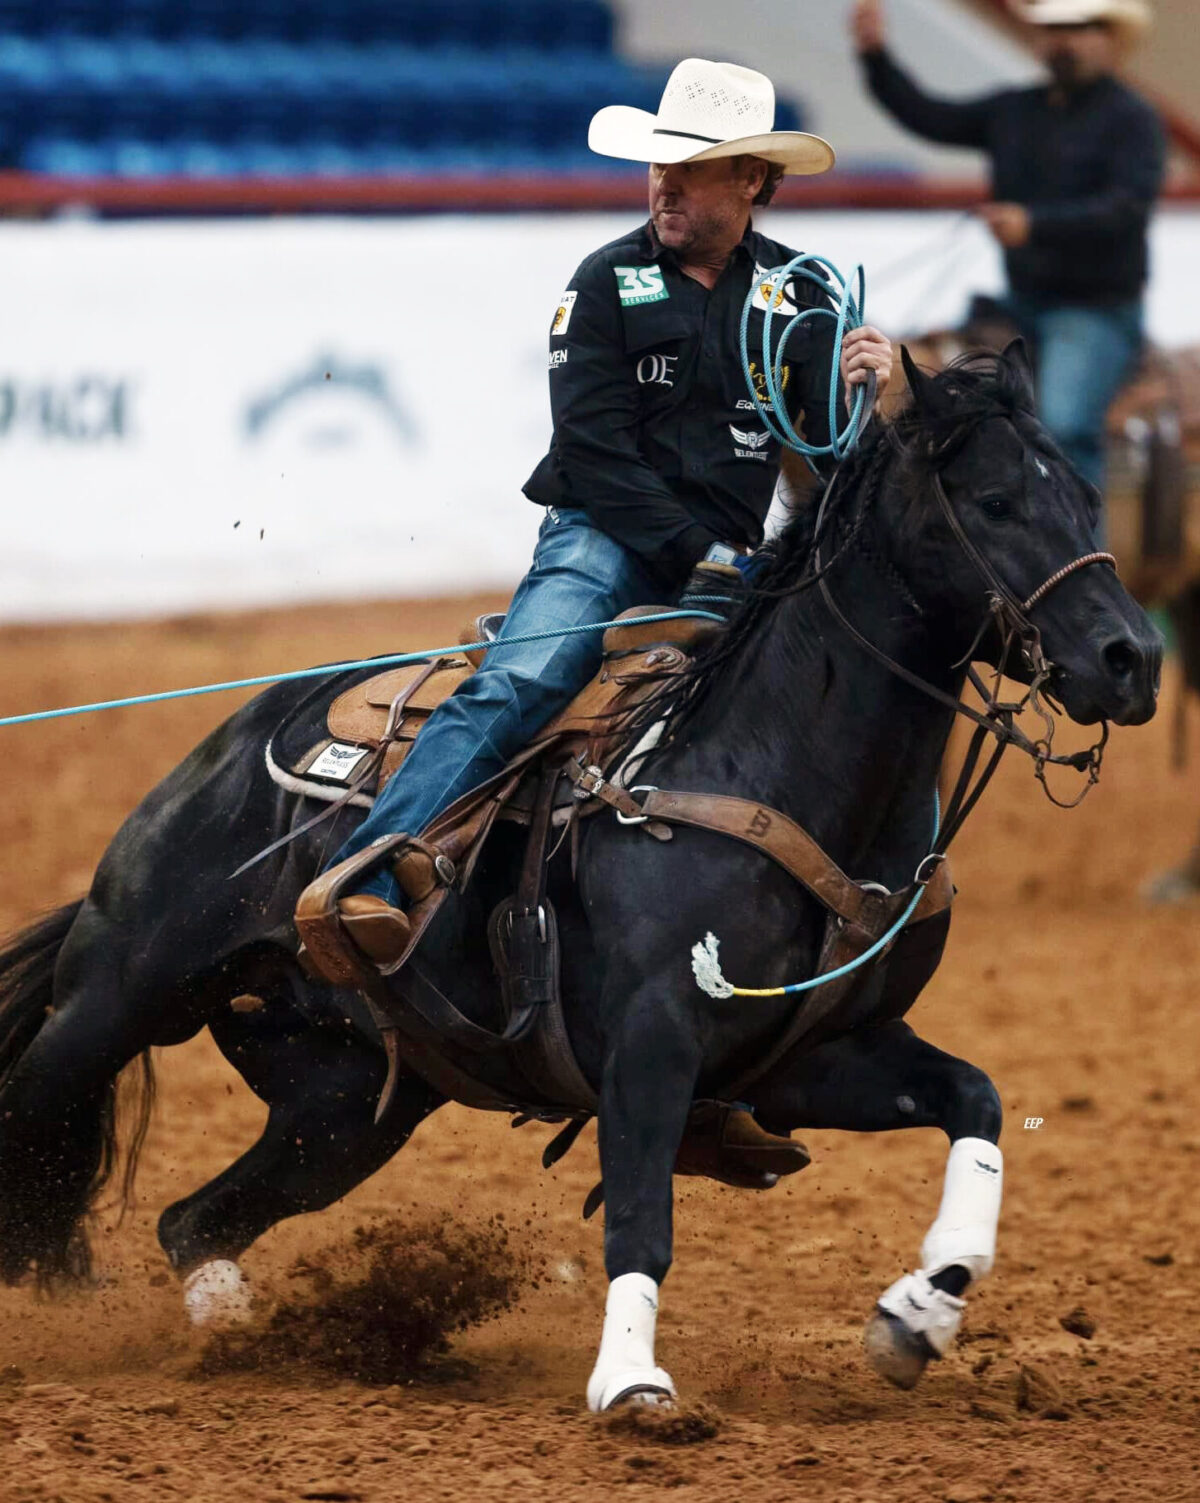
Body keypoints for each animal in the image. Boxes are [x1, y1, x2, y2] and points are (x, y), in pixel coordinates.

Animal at [0, 346, 1162, 1410]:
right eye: (997, 502)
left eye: (1086, 492)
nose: (1134, 659)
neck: (767, 759)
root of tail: (222, 751)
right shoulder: (653, 1041)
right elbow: (643, 1216)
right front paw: (632, 1385)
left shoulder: (811, 1055)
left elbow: (977, 1099)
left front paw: (919, 1314)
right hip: (119, 997)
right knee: (45, 1112)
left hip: (345, 1104)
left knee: (191, 1221)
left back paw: (243, 1337)